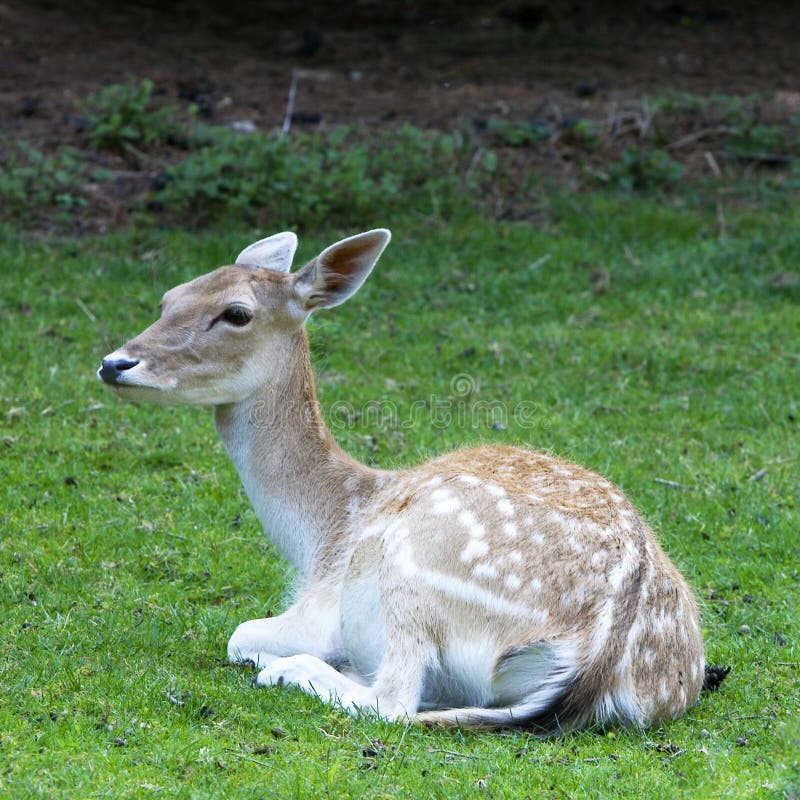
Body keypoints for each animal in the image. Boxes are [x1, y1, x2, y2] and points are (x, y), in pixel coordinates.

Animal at [97, 228, 706, 732]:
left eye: (237, 313)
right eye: (169, 297)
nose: (115, 363)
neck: (322, 533)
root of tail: (596, 658)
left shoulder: (320, 609)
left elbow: (240, 633)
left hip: (414, 567)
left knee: (391, 702)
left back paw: (291, 671)